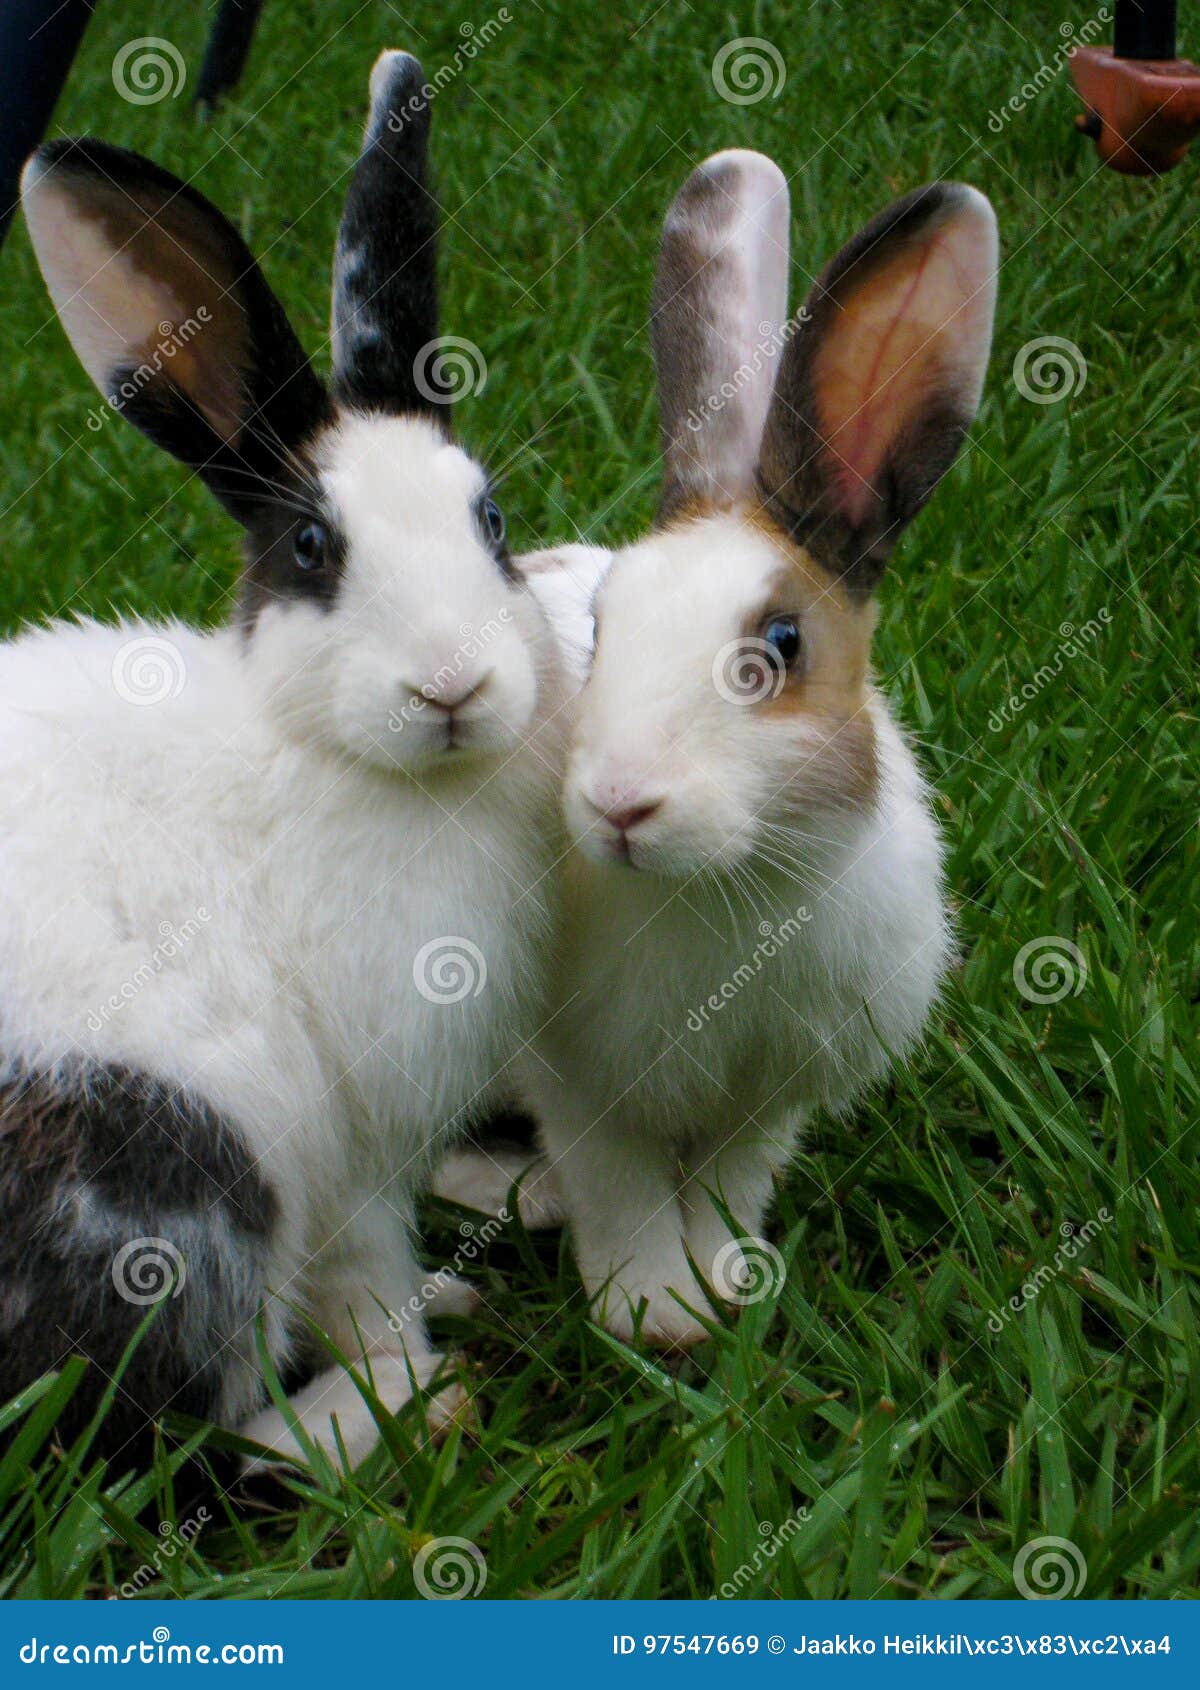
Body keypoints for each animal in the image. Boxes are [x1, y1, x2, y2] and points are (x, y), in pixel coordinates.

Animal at [0, 50, 570, 1470]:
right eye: (315, 548)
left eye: (490, 520)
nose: (453, 684)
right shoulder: (349, 1149)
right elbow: (367, 1283)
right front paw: (413, 1363)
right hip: (186, 1170)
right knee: (176, 1440)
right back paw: (372, 1415)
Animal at [434, 151, 998, 1348]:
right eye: (602, 627)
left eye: (778, 649)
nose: (619, 804)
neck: (729, 891)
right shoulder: (584, 1084)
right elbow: (623, 1188)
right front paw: (654, 1312)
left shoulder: (771, 1096)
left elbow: (730, 1181)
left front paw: (728, 1281)